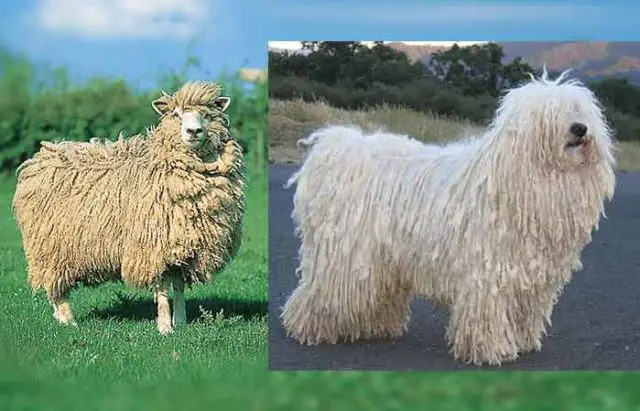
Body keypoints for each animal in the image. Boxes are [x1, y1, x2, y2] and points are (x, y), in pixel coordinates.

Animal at [12, 81, 245, 335]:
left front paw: (181, 322)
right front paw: (165, 327)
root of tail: (41, 157)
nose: (194, 132)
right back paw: (68, 319)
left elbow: (179, 286)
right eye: (176, 115)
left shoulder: (182, 247)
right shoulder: (152, 247)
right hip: (50, 247)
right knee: (55, 286)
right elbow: (162, 289)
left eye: (207, 115)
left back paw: (59, 317)